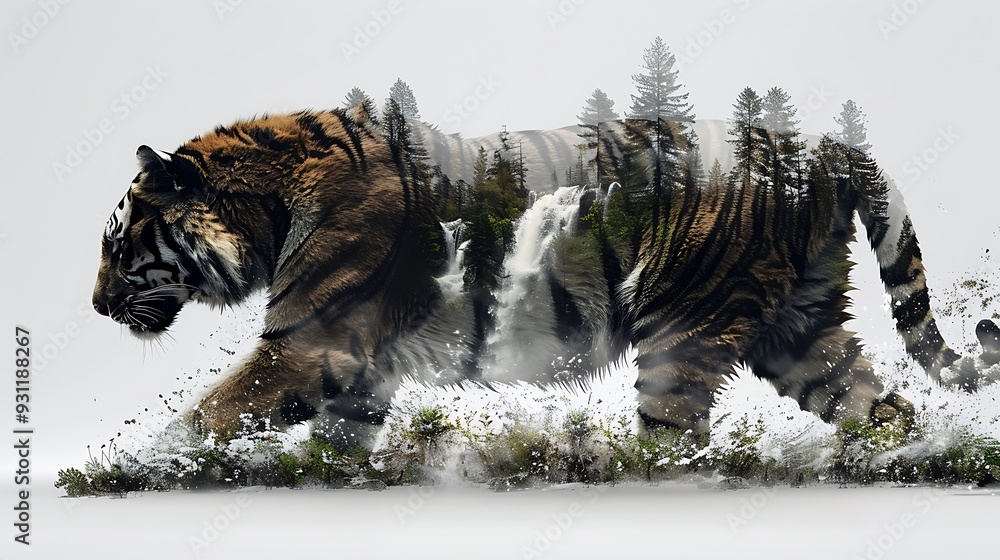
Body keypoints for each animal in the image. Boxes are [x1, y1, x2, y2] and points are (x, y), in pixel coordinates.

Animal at [91, 102, 998, 449]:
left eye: (119, 241)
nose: (96, 307)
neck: (270, 209)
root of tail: (819, 149)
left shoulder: (309, 345)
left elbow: (208, 416)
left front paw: (143, 468)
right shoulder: (357, 370)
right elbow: (335, 443)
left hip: (683, 330)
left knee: (677, 436)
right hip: (800, 329)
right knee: (883, 410)